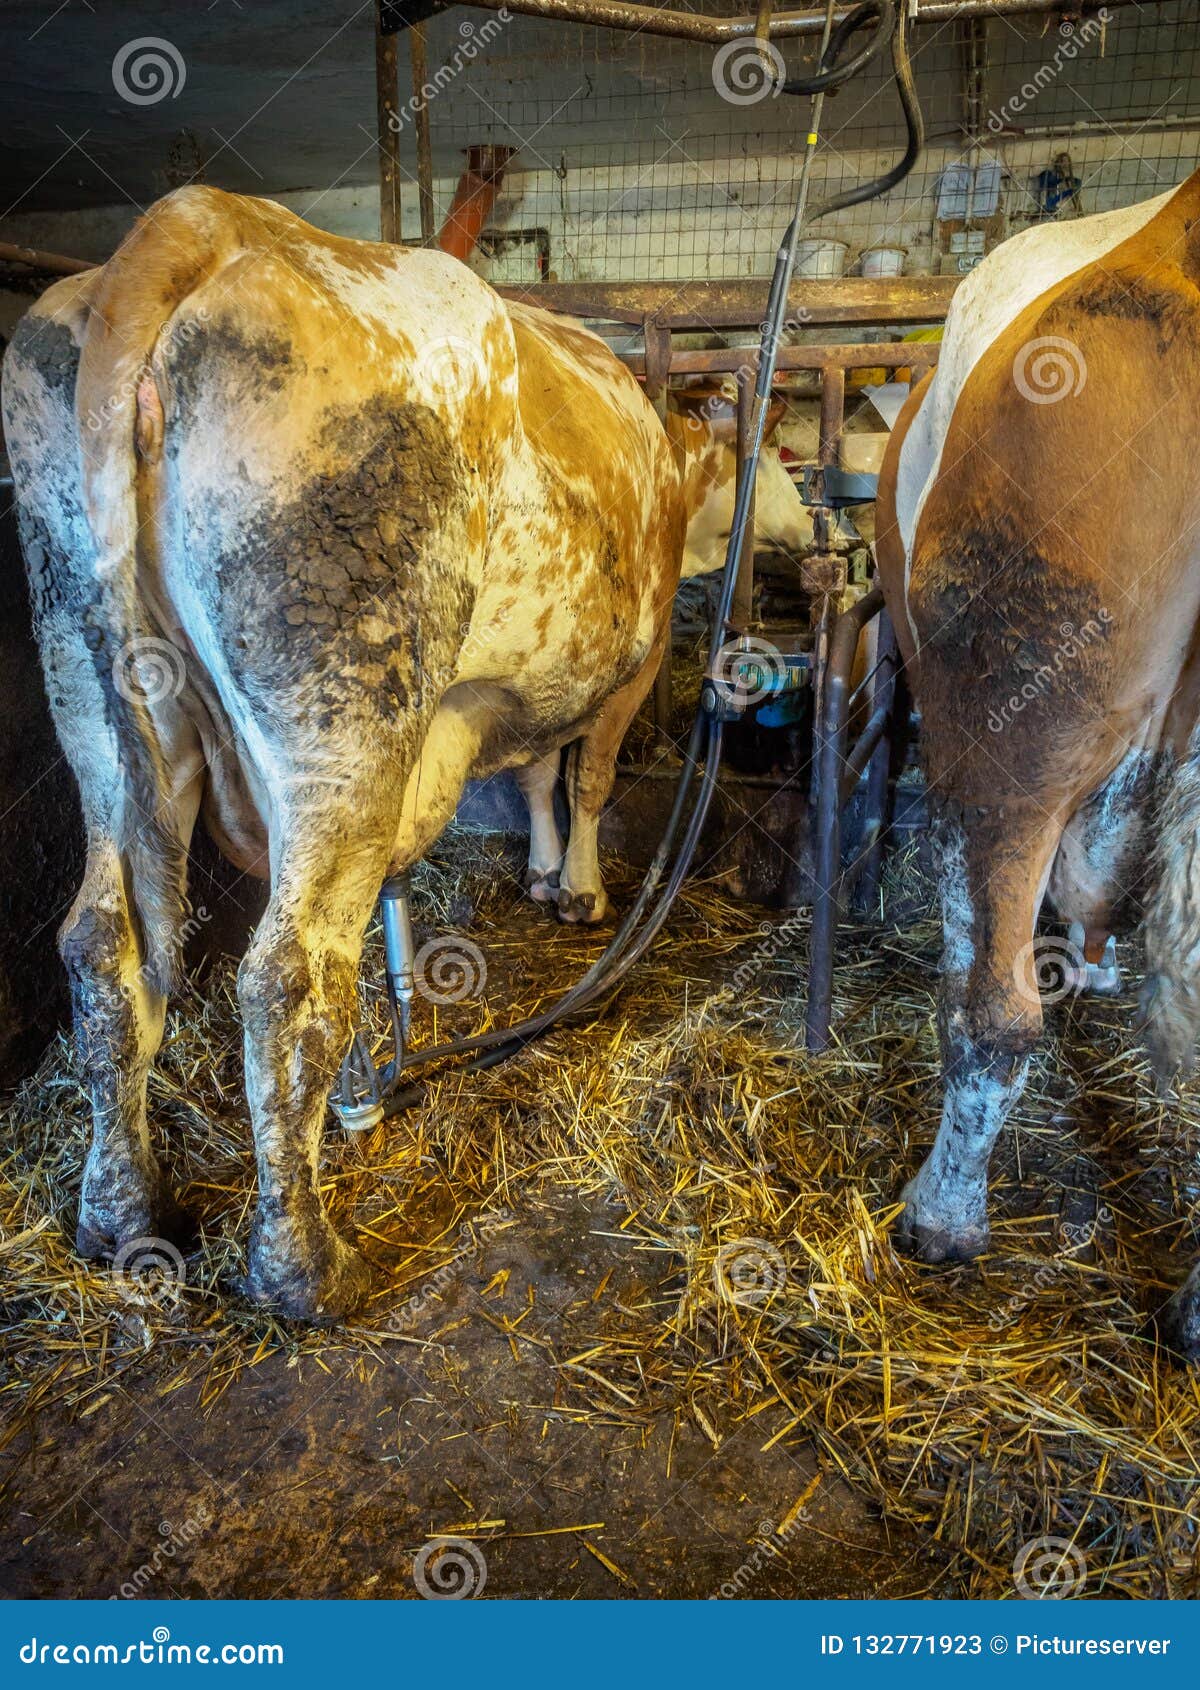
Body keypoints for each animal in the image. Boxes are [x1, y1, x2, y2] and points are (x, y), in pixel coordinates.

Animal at [1, 185, 809, 1321]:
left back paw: (123, 1210)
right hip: (344, 711)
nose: (814, 528)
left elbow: (534, 768)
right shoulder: (632, 665)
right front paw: (582, 890)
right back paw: (303, 1266)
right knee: (286, 979)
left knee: (101, 942)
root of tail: (200, 215)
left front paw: (543, 871)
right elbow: (591, 774)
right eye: (780, 461)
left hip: (89, 685)